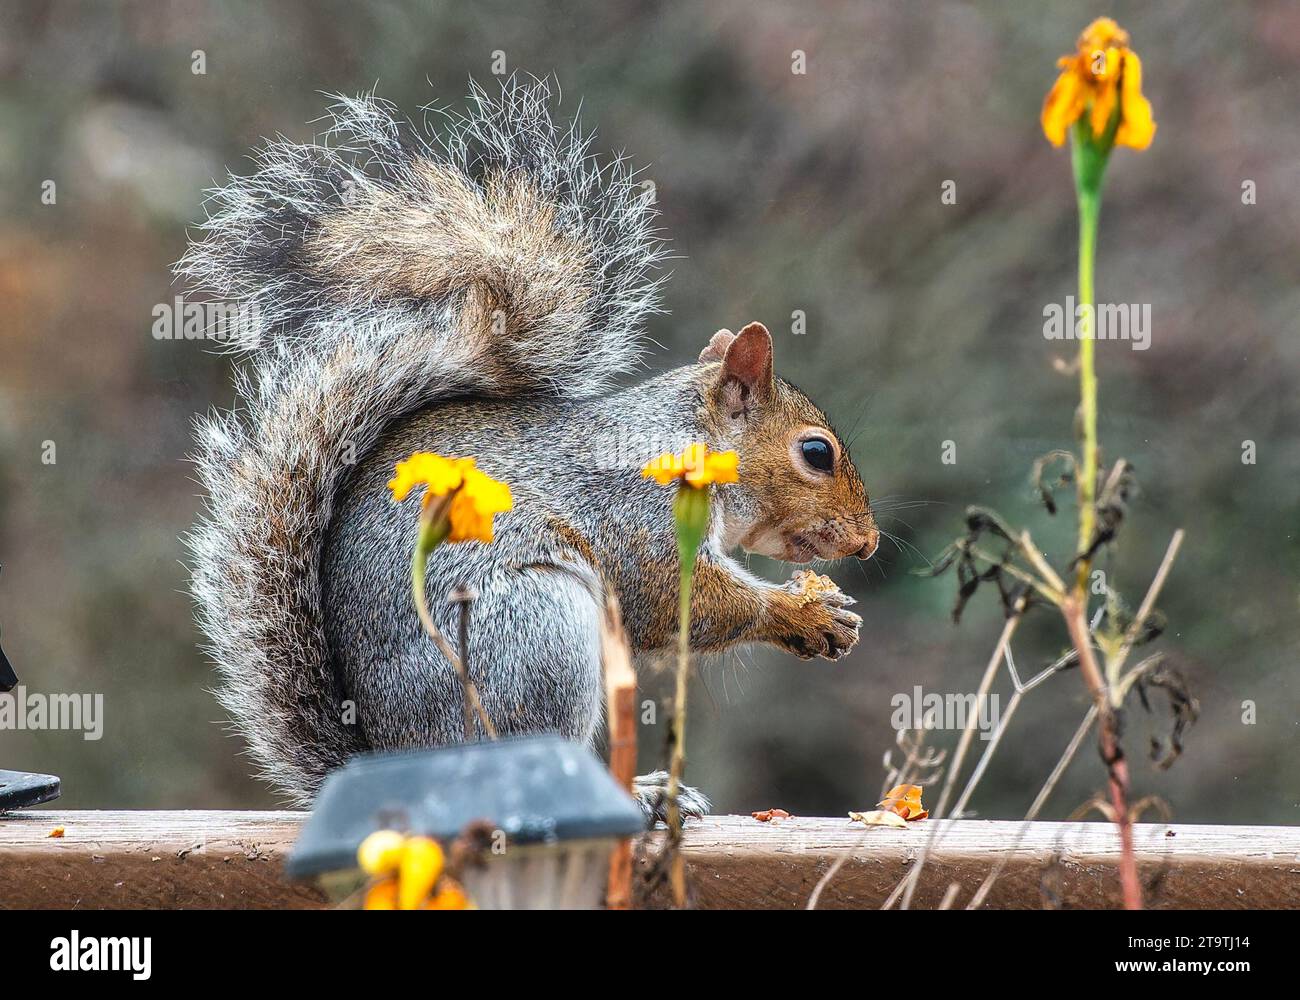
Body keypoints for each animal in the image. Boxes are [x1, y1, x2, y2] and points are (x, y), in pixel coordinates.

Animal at [179, 77, 879, 820]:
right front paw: (804, 613)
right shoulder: (637, 512)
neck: (683, 437)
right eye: (817, 453)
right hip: (537, 635)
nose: (868, 543)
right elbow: (673, 599)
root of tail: (405, 780)